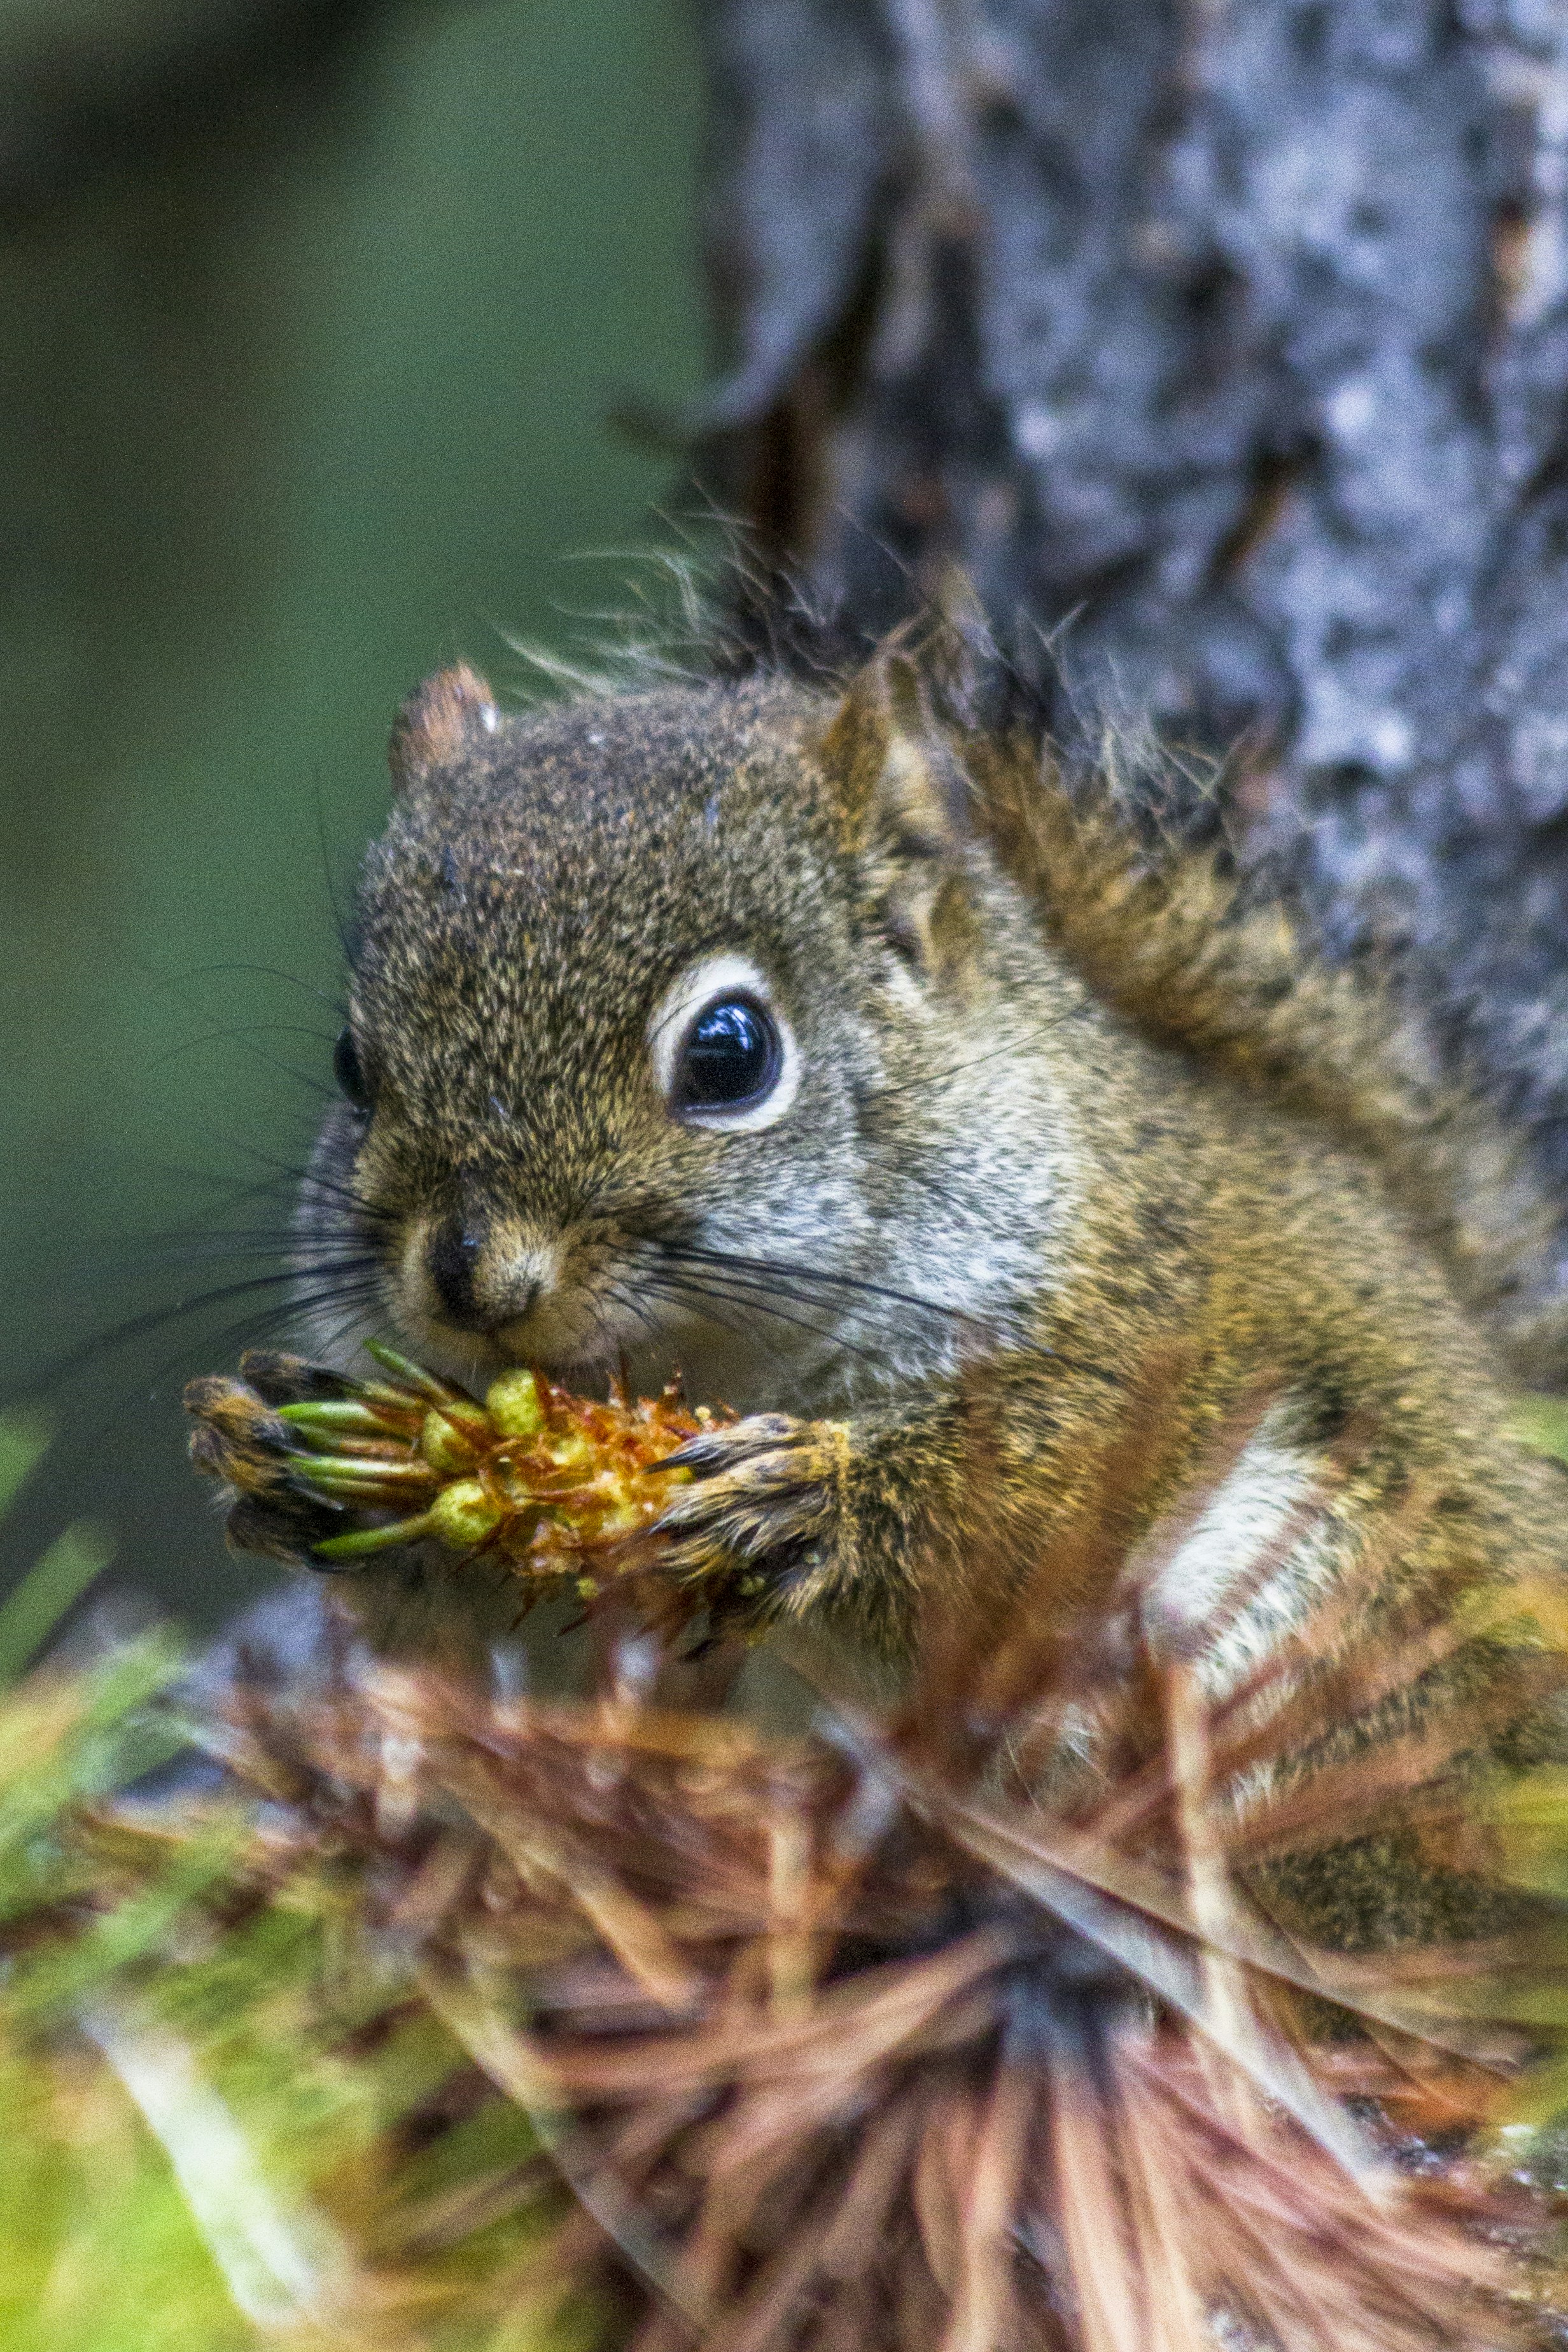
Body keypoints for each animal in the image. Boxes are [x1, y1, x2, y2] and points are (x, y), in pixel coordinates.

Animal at [290, 629, 1568, 1854]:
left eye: (729, 1052)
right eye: (352, 1064)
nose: (472, 1279)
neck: (713, 1364)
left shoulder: (1140, 1320)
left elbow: (1027, 1521)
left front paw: (812, 1499)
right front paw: (297, 1459)